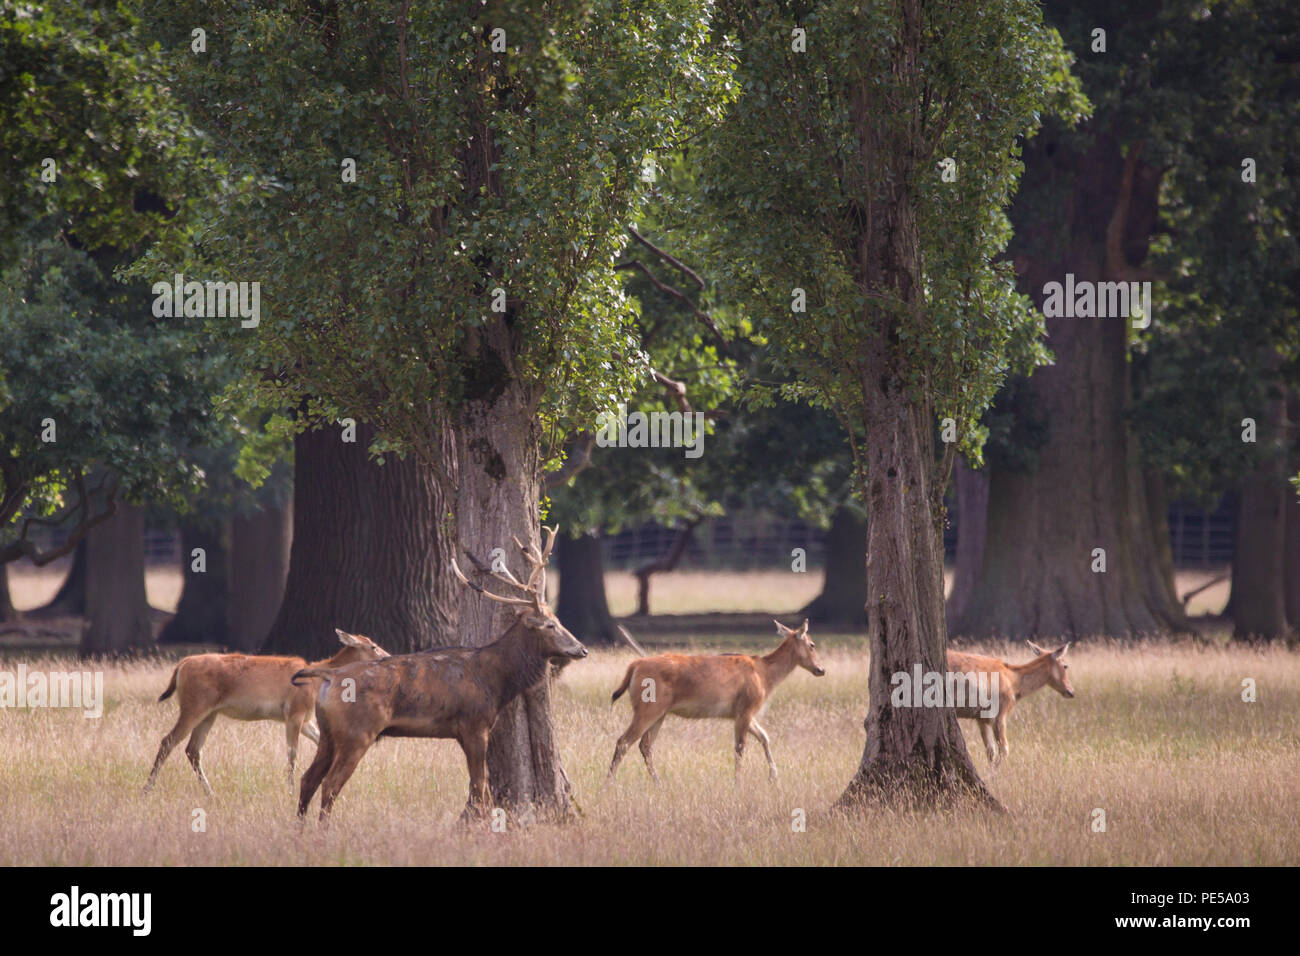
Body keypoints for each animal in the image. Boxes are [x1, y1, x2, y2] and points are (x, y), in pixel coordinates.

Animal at [144, 629, 390, 796]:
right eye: (373, 646)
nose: (388, 656)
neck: (315, 684)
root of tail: (181, 666)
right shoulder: (294, 712)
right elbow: (292, 753)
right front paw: (290, 789)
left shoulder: (306, 719)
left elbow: (318, 741)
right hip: (194, 705)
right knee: (168, 741)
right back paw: (148, 788)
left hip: (209, 713)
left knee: (193, 749)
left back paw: (210, 792)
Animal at [295, 526, 587, 823]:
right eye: (550, 625)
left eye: (558, 620)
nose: (581, 649)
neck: (495, 681)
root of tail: (330, 677)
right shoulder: (474, 724)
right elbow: (480, 784)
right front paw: (482, 823)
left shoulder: (464, 731)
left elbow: (481, 784)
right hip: (358, 732)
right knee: (330, 784)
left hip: (329, 733)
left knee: (308, 780)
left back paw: (301, 828)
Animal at [607, 618, 825, 783]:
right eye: (812, 644)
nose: (821, 669)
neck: (765, 676)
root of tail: (634, 666)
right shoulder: (747, 706)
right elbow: (740, 747)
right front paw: (738, 782)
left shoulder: (740, 712)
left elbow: (764, 736)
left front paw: (773, 777)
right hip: (647, 708)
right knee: (623, 741)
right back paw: (609, 783)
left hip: (659, 712)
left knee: (645, 745)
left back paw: (657, 782)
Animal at [946, 640, 1074, 772]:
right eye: (1065, 666)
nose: (1071, 691)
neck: (1014, 684)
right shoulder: (1000, 712)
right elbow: (1004, 749)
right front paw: (994, 774)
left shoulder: (981, 717)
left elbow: (990, 750)